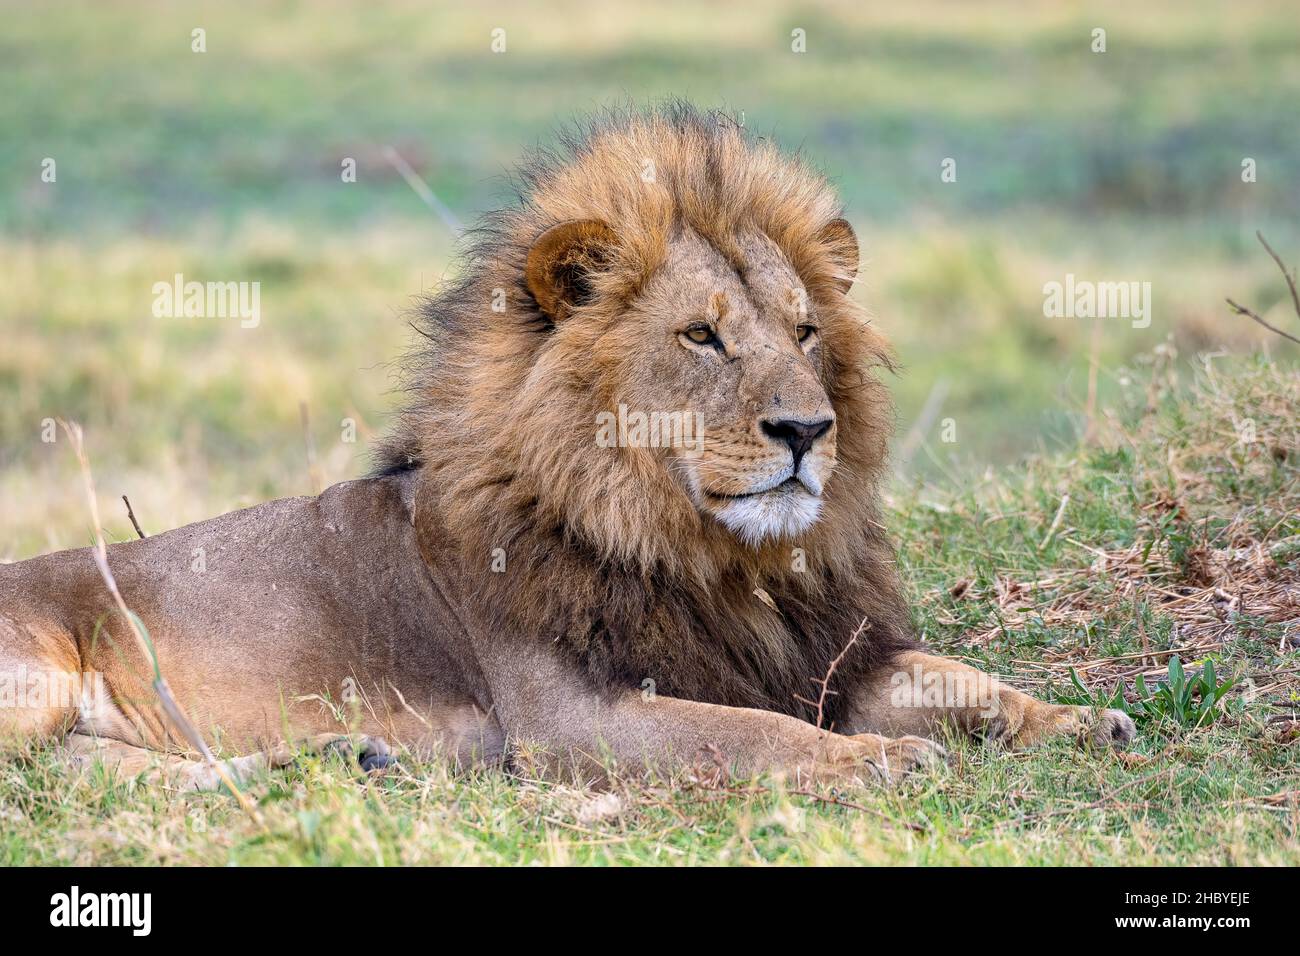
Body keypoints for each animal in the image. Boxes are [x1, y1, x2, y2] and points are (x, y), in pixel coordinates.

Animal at [0, 104, 1134, 791]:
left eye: (805, 331)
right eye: (703, 335)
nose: (807, 430)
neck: (713, 558)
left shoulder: (821, 654)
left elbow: (957, 678)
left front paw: (1078, 721)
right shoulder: (568, 717)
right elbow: (757, 735)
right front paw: (874, 764)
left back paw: (333, 757)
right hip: (38, 679)